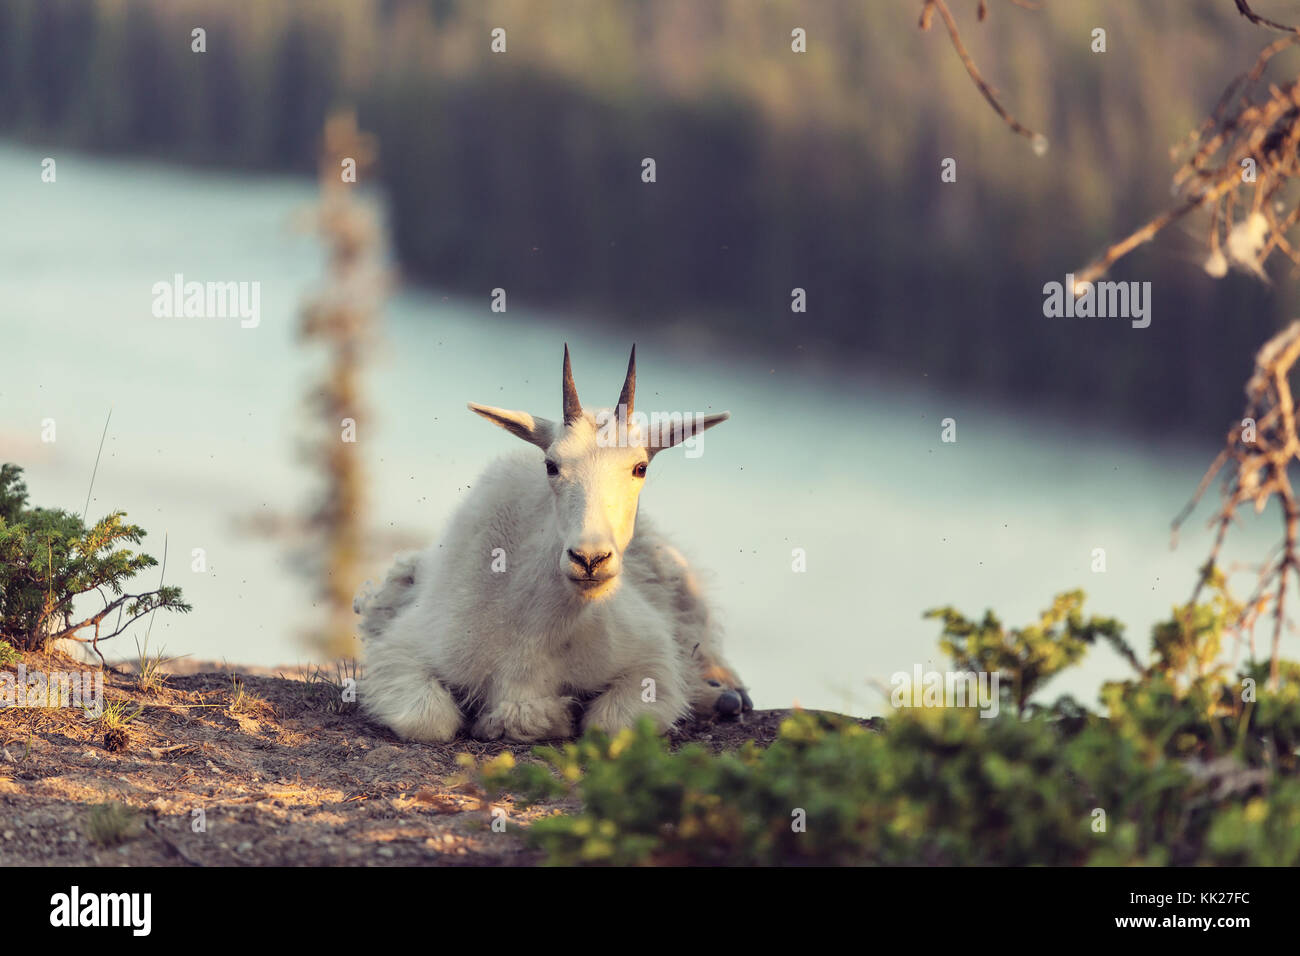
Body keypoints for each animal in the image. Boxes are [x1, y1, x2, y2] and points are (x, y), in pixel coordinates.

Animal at [354, 345, 751, 742]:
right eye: (551, 465)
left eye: (640, 467)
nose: (590, 559)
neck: (535, 630)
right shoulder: (405, 650)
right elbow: (428, 720)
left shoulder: (649, 658)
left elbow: (610, 723)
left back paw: (724, 694)